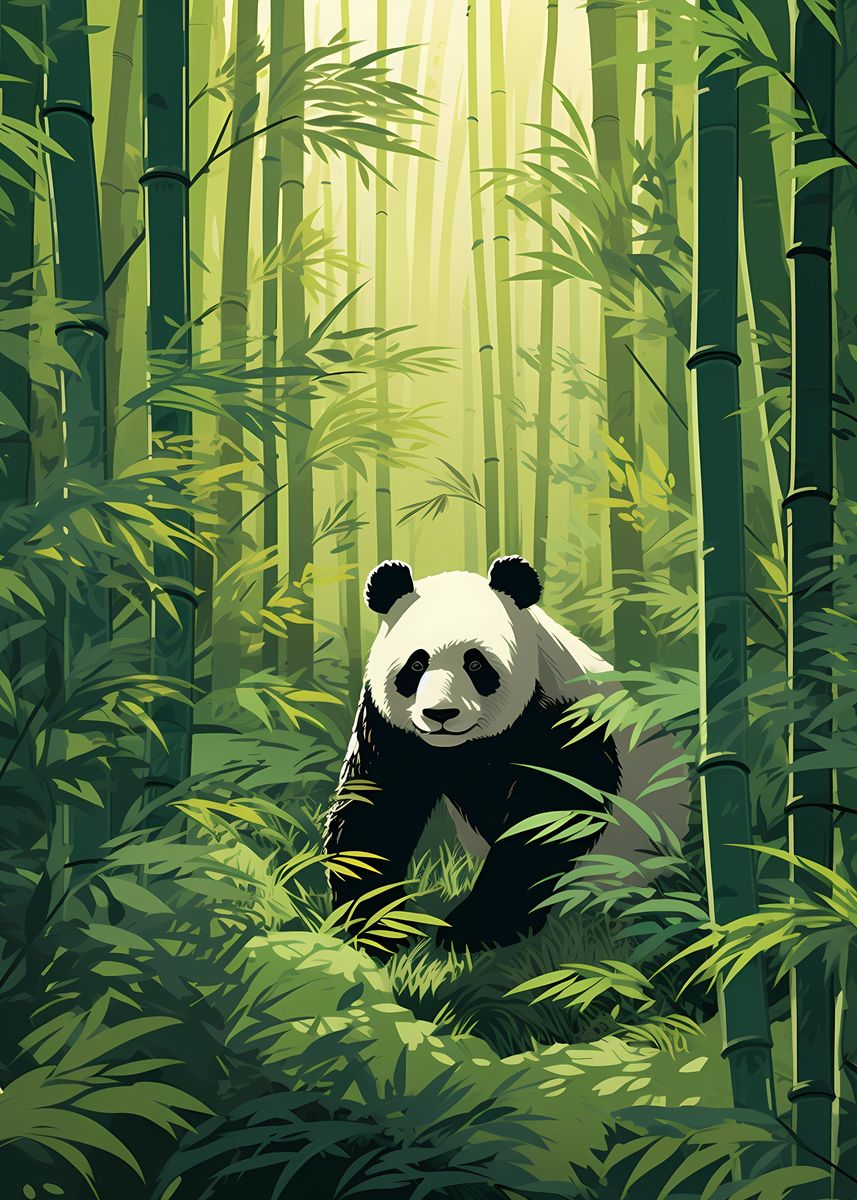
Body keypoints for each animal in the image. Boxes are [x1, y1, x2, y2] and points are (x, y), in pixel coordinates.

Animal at [324, 555, 688, 952]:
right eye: (416, 665)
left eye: (475, 665)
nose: (440, 714)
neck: (462, 747)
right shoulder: (392, 730)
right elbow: (378, 809)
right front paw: (378, 925)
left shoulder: (562, 717)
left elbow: (551, 817)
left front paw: (474, 930)